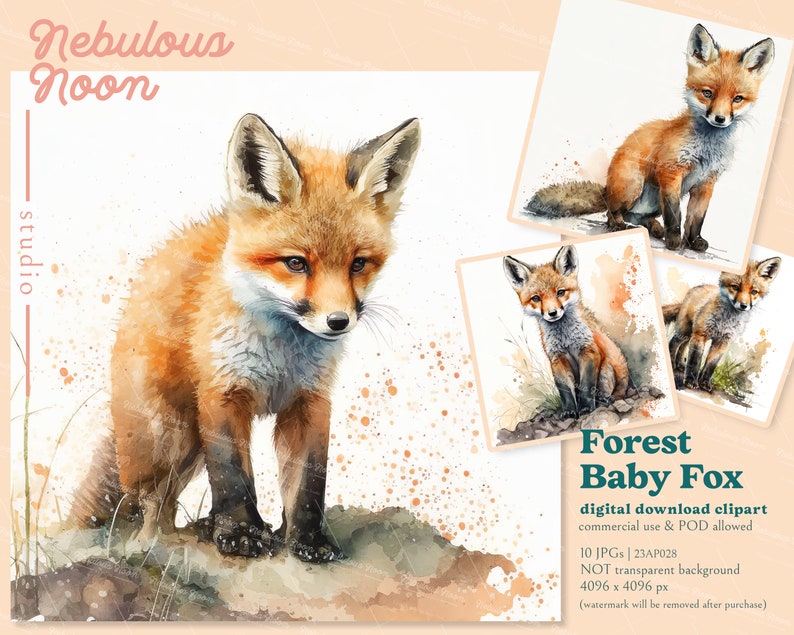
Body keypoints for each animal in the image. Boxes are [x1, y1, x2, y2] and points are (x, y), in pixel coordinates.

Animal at [69, 113, 421, 562]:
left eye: (358, 264)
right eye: (296, 263)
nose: (338, 321)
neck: (281, 354)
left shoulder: (309, 400)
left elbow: (308, 484)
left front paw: (307, 540)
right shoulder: (222, 392)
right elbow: (232, 477)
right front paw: (240, 534)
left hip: (187, 446)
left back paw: (206, 527)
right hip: (169, 436)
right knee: (150, 507)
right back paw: (159, 543)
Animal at [502, 245, 629, 419]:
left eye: (560, 292)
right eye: (536, 298)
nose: (552, 313)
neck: (565, 338)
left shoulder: (589, 351)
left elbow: (586, 386)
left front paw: (586, 407)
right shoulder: (556, 358)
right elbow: (565, 390)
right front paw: (569, 410)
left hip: (606, 368)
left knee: (611, 392)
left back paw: (605, 399)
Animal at [527, 24, 775, 252]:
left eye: (737, 98)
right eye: (707, 93)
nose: (720, 119)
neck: (706, 149)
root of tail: (607, 188)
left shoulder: (707, 182)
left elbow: (696, 218)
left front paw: (694, 242)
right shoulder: (671, 172)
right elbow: (675, 216)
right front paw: (674, 242)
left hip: (654, 200)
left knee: (639, 217)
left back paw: (654, 228)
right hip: (633, 186)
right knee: (612, 213)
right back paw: (620, 225)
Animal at [663, 257, 780, 392]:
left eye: (754, 292)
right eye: (735, 287)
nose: (744, 306)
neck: (726, 321)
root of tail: (695, 288)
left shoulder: (723, 341)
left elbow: (711, 365)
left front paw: (704, 383)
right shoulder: (701, 334)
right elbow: (694, 361)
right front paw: (691, 381)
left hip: (691, 333)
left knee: (683, 346)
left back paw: (680, 364)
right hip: (685, 330)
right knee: (674, 342)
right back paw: (672, 362)